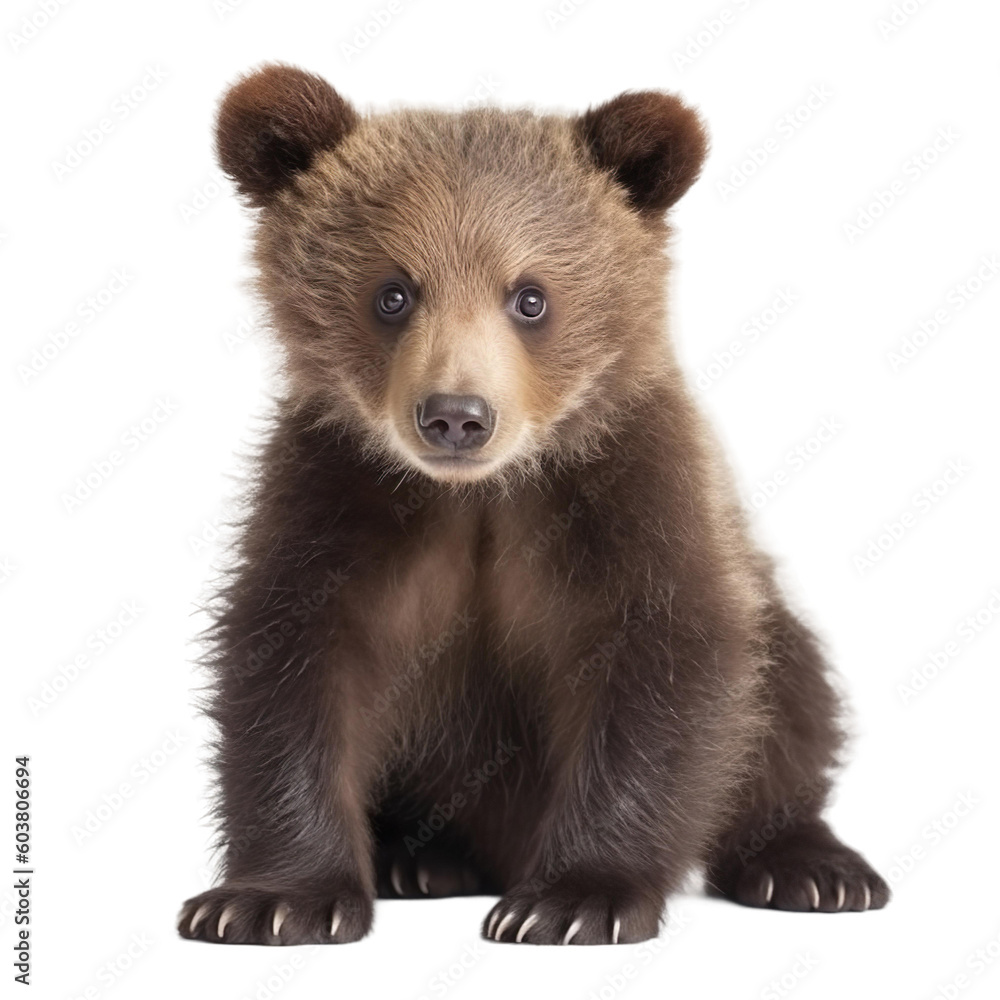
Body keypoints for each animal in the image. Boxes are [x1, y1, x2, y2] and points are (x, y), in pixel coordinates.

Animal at [177, 63, 889, 947]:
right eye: (393, 293)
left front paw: (572, 900)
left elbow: (666, 665)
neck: (481, 493)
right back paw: (423, 859)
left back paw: (814, 867)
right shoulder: (338, 495)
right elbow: (292, 664)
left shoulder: (630, 489)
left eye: (529, 297)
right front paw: (269, 898)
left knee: (792, 699)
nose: (456, 414)